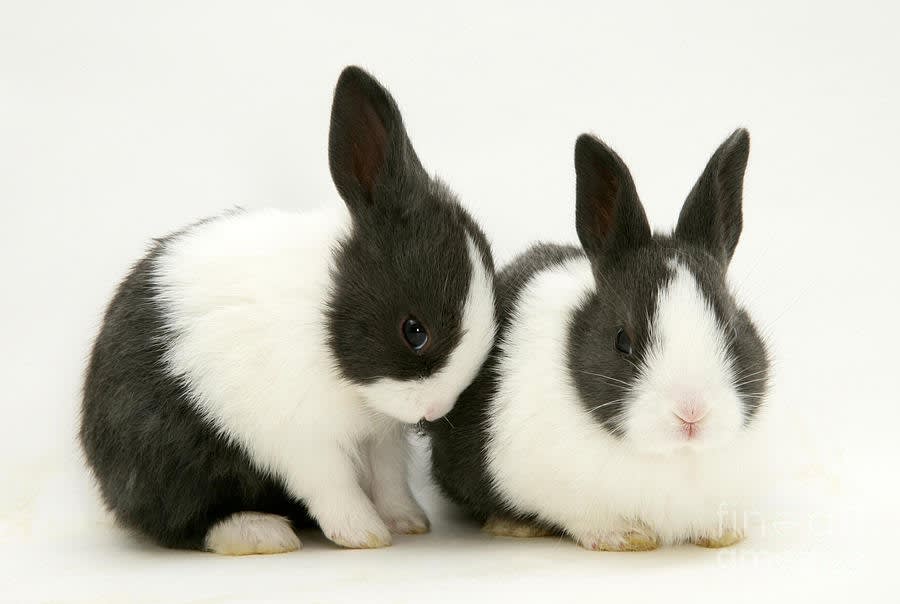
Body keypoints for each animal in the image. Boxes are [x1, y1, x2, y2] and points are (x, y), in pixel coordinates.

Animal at [80, 66, 497, 555]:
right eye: (415, 331)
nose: (433, 410)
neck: (324, 318)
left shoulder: (381, 437)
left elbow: (389, 479)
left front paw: (407, 521)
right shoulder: (302, 438)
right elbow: (333, 485)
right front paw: (364, 533)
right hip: (168, 461)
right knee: (183, 520)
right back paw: (261, 532)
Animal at [426, 129, 770, 551]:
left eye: (733, 329)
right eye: (622, 341)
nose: (692, 413)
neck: (673, 456)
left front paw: (722, 535)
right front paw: (628, 538)